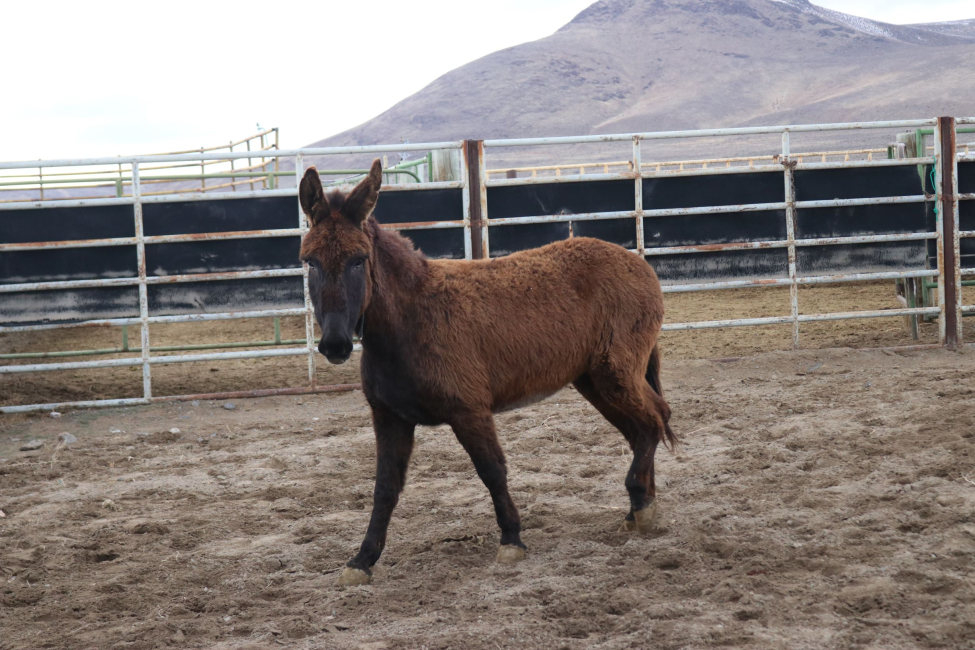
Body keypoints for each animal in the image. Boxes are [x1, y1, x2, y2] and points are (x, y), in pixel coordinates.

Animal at [298, 160, 676, 586]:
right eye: (309, 260)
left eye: (359, 259)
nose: (335, 345)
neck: (412, 319)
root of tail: (638, 264)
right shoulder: (390, 417)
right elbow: (385, 488)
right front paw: (362, 560)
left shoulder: (470, 411)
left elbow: (493, 470)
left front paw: (511, 540)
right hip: (594, 380)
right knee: (642, 429)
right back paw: (639, 508)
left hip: (615, 373)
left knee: (654, 420)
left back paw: (642, 506)